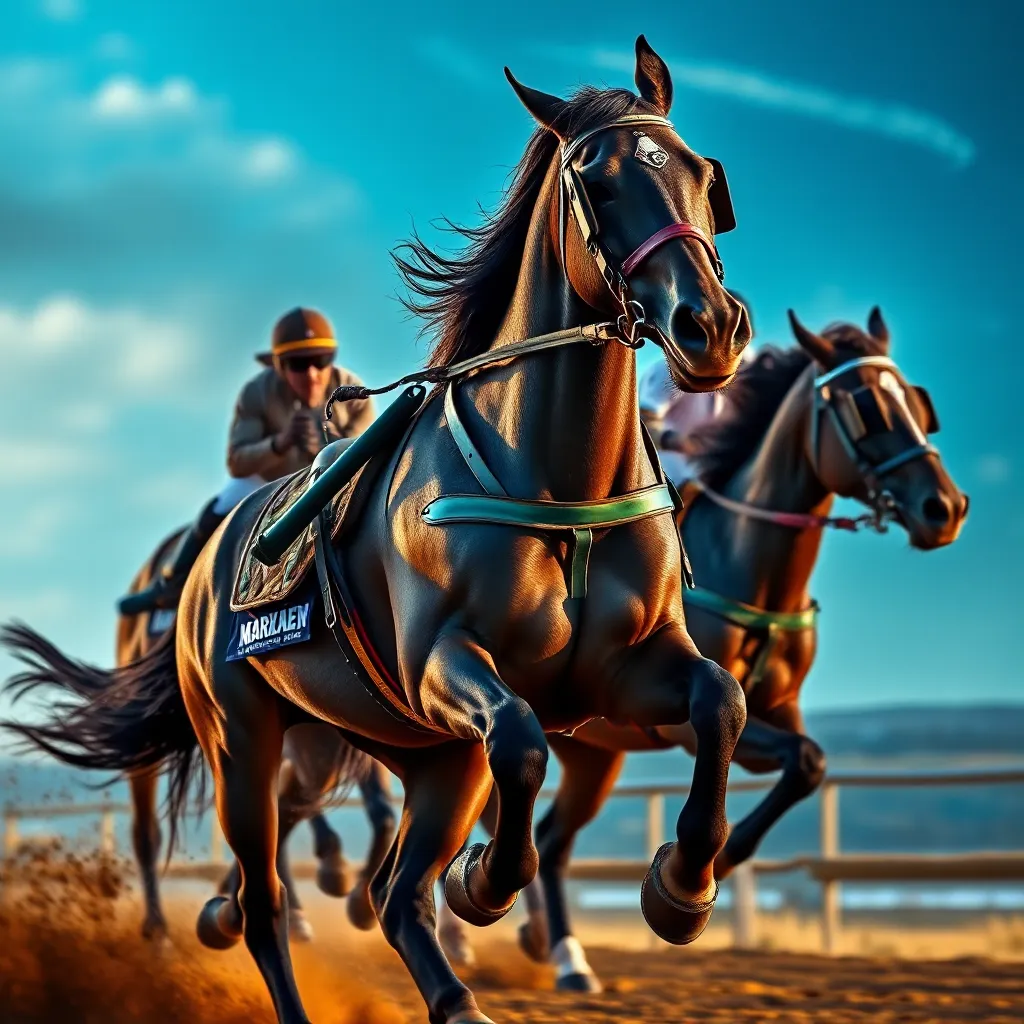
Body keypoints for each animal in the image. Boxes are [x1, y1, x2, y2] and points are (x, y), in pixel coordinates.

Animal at [2, 36, 751, 1024]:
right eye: (598, 179)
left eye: (704, 174)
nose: (711, 327)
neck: (556, 479)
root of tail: (199, 568)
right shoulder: (444, 666)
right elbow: (520, 741)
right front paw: (486, 879)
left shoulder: (624, 672)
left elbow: (719, 702)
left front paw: (681, 888)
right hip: (247, 736)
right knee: (265, 898)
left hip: (415, 752)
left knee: (395, 894)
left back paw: (453, 991)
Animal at [498, 309, 968, 991]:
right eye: (865, 407)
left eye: (915, 401)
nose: (945, 507)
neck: (748, 567)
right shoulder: (682, 717)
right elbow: (798, 758)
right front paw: (692, 874)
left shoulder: (780, 708)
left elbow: (810, 761)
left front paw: (700, 871)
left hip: (591, 754)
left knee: (553, 839)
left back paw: (560, 952)